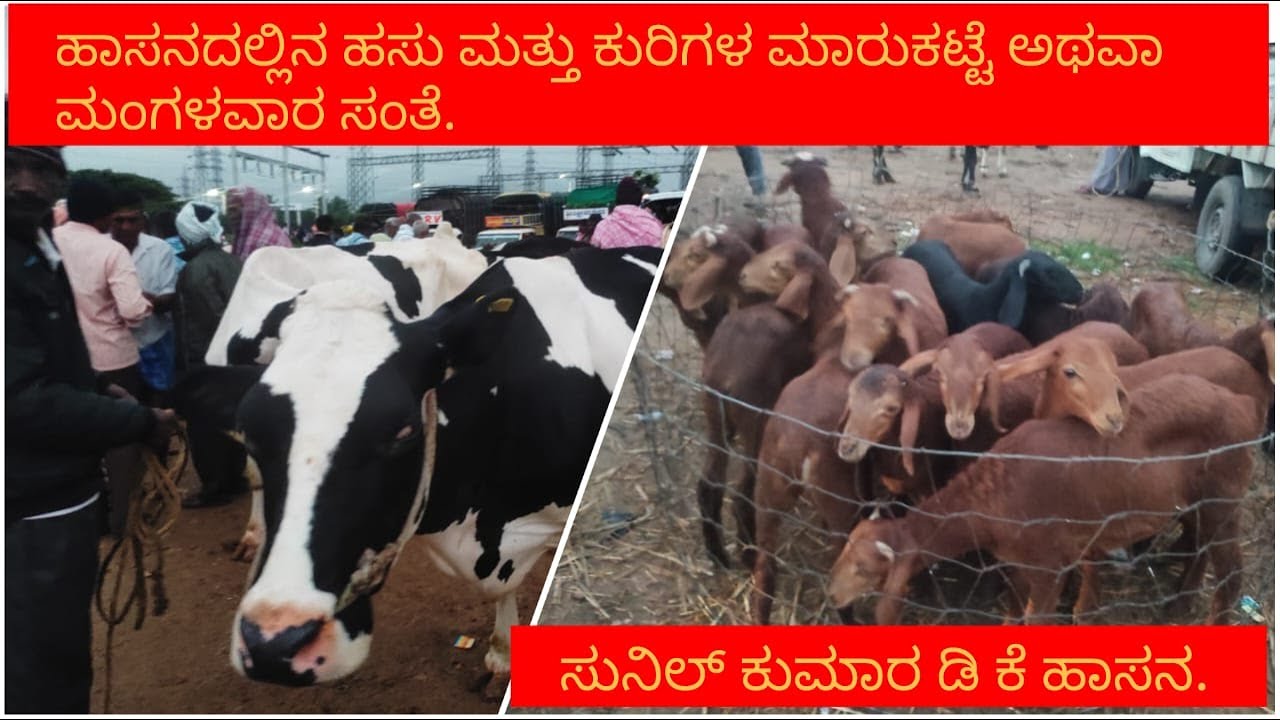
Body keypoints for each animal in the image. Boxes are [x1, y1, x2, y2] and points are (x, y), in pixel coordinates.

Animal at [748, 254, 947, 624]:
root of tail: (796, 445)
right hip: (836, 500)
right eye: (851, 315)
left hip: (767, 491)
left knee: (764, 570)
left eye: (887, 320)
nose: (854, 360)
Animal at [828, 373, 1260, 626]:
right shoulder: (1017, 561)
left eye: (865, 570)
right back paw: (1179, 604)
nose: (831, 595)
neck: (990, 494)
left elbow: (1037, 619)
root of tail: (1242, 402)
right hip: (1198, 502)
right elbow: (1014, 608)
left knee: (1232, 573)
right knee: (1202, 546)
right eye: (845, 552)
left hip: (1224, 496)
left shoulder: (1050, 566)